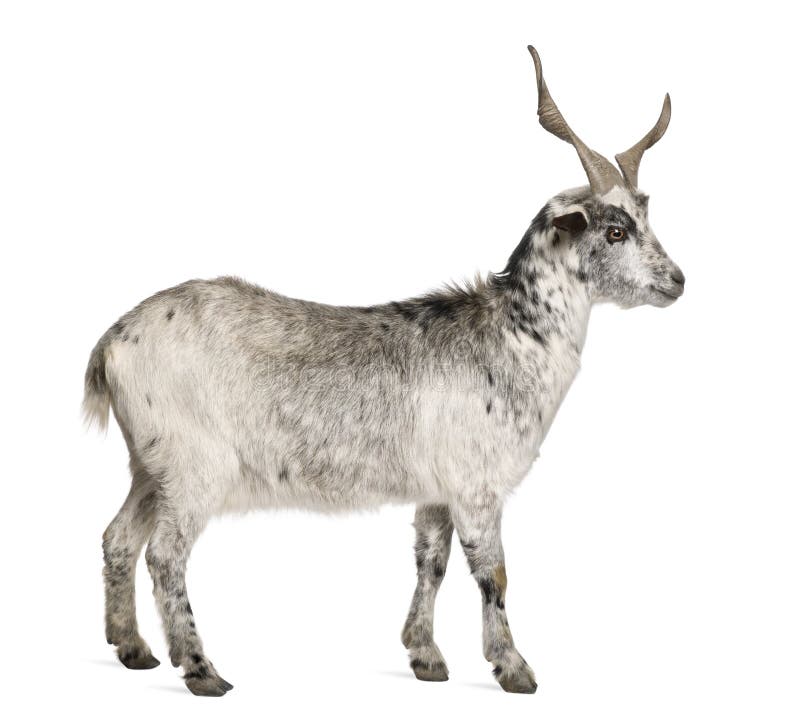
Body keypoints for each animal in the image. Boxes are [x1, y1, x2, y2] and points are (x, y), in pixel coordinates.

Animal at [84, 46, 684, 696]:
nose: (677, 280)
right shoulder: (476, 483)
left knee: (118, 537)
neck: (510, 335)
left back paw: (133, 648)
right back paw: (201, 670)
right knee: (164, 554)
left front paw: (426, 657)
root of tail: (112, 342)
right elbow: (493, 572)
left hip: (150, 464)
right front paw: (514, 667)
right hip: (195, 466)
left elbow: (432, 560)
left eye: (647, 217)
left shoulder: (437, 489)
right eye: (615, 230)